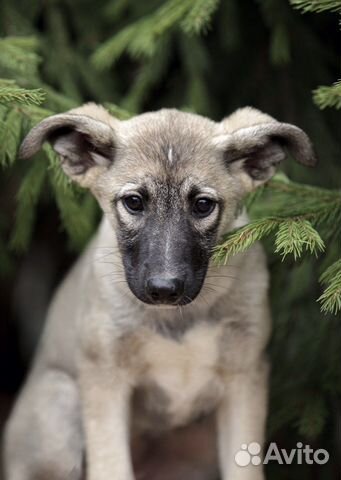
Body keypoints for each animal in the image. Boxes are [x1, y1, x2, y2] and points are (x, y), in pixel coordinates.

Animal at [3, 106, 314, 480]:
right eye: (134, 202)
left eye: (203, 205)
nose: (164, 289)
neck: (178, 317)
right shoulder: (105, 378)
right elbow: (112, 467)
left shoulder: (245, 376)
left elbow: (245, 469)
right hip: (59, 406)